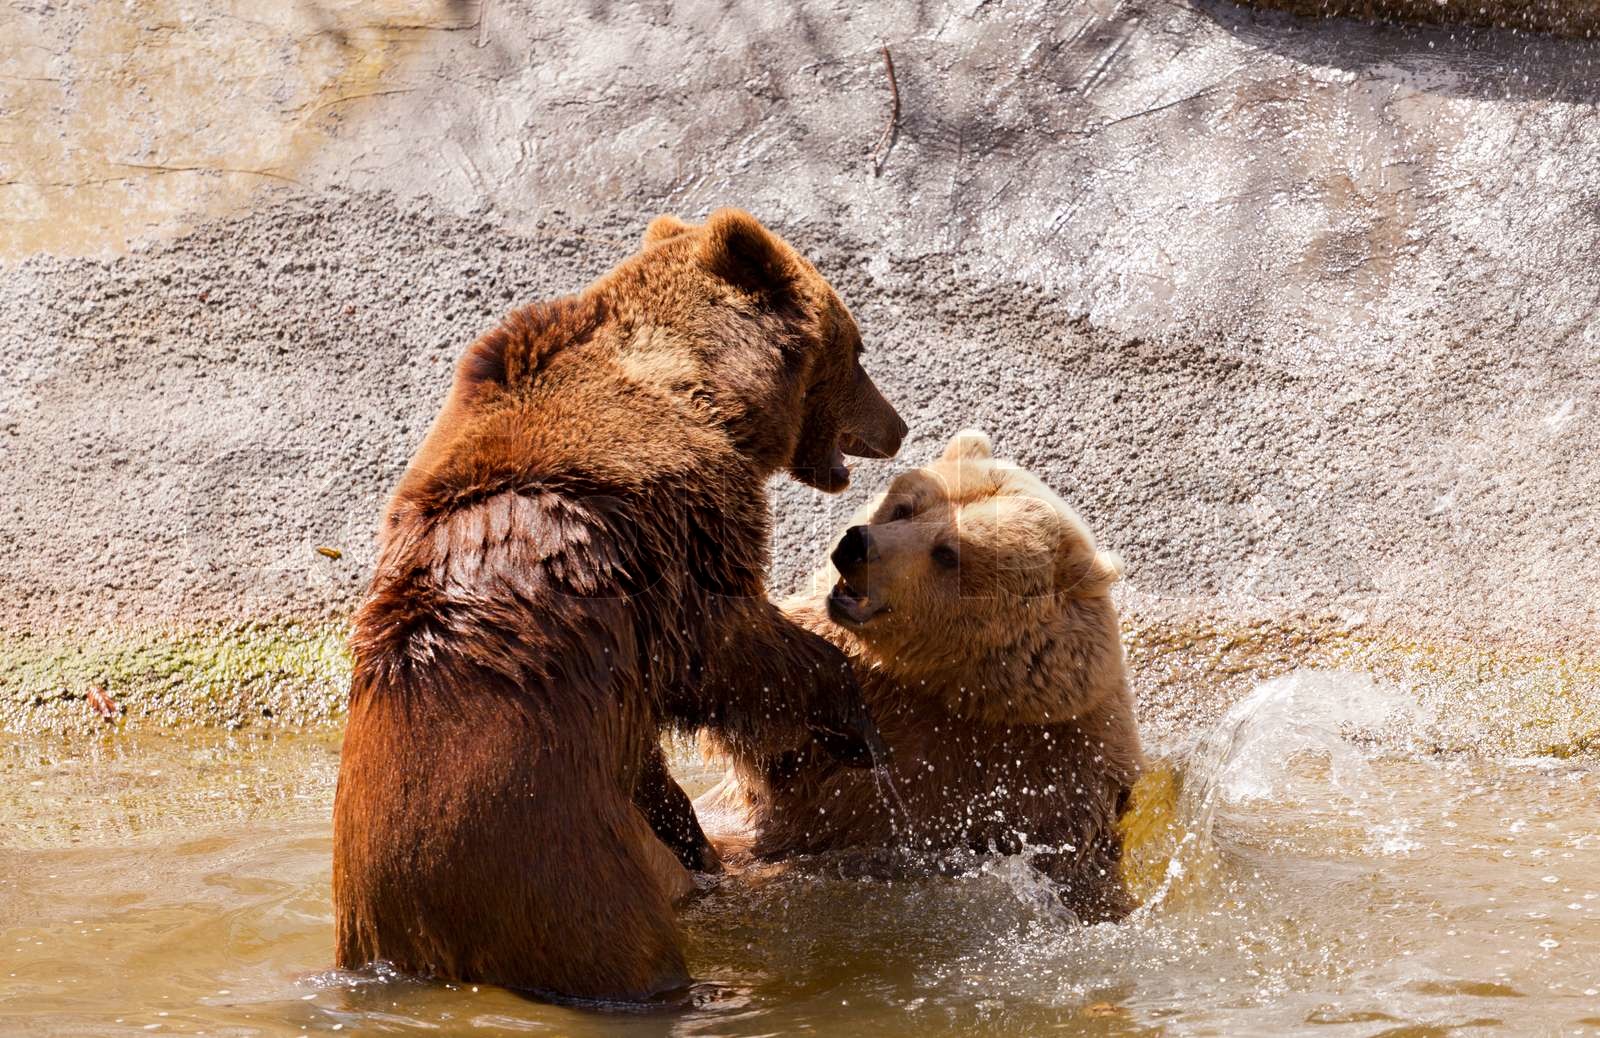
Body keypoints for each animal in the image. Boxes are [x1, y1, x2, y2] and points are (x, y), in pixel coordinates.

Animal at [331, 209, 907, 1002]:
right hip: (568, 874)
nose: (898, 425)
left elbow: (656, 755)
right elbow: (732, 645)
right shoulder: (675, 526)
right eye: (857, 349)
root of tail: (411, 921)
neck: (704, 388)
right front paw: (851, 717)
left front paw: (703, 834)